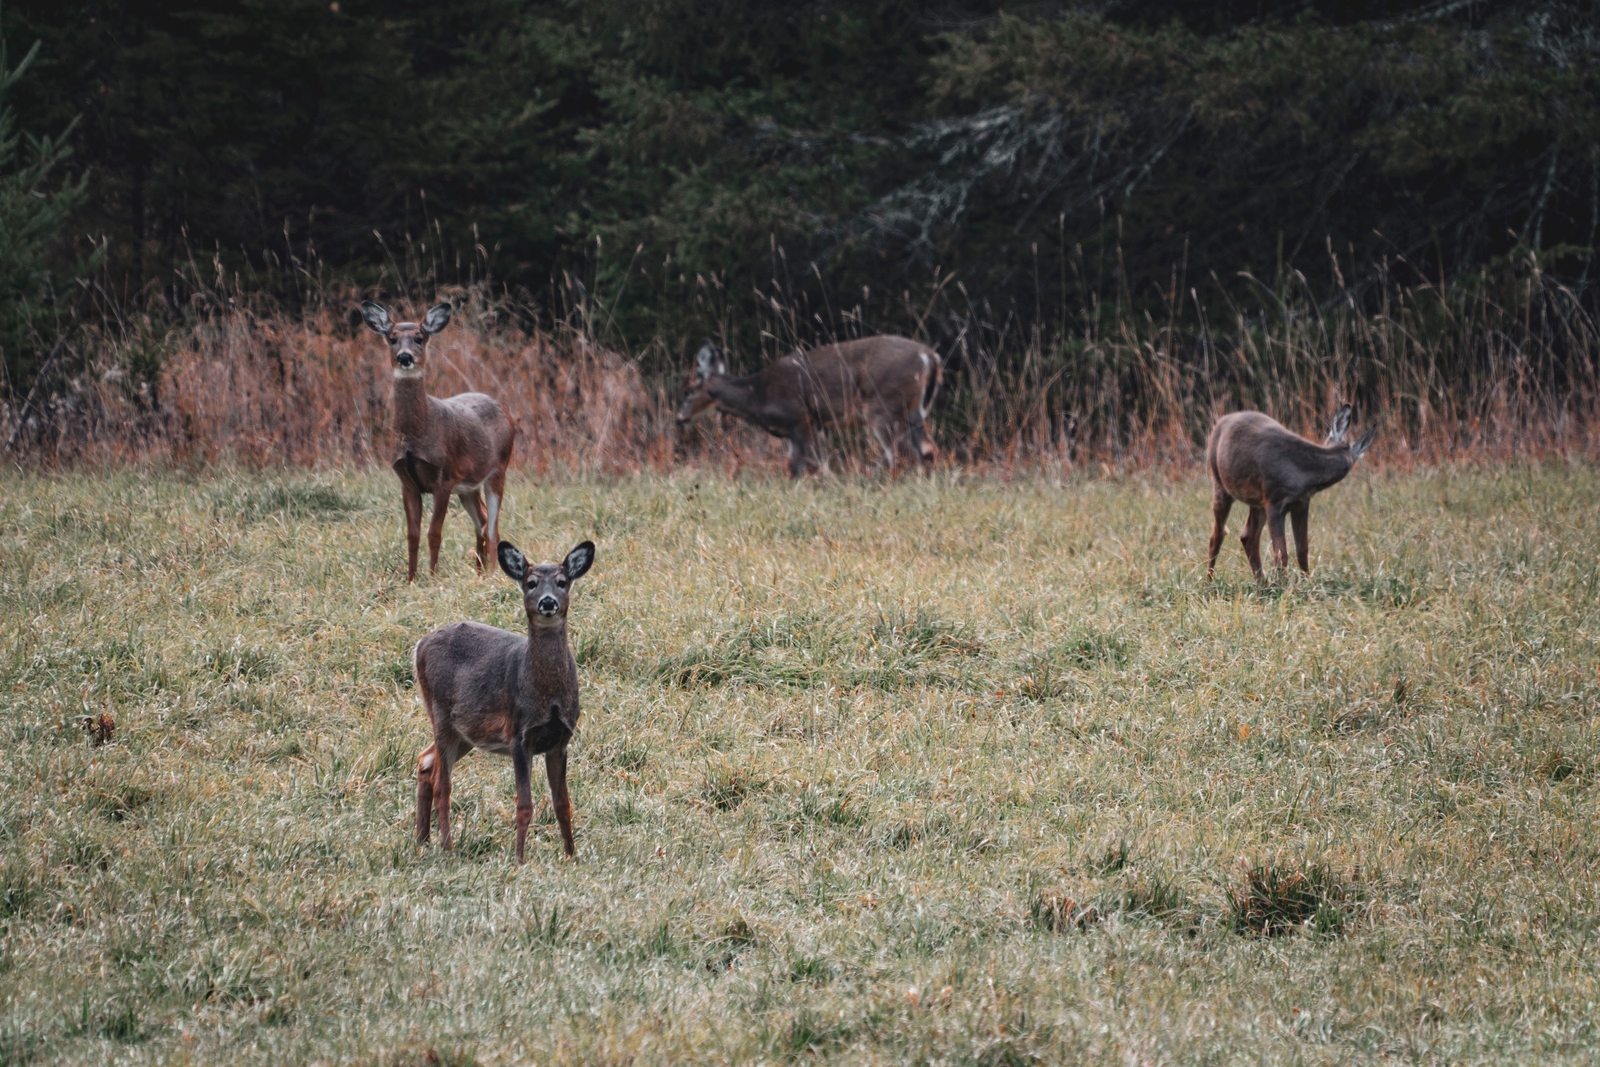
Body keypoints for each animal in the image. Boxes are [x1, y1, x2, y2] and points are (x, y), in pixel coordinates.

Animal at [361, 300, 516, 582]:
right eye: (392, 338)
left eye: (419, 338)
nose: (405, 357)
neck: (416, 438)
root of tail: (507, 413)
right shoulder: (407, 481)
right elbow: (412, 535)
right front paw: (411, 579)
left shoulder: (444, 476)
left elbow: (434, 533)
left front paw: (432, 578)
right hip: (468, 486)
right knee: (482, 521)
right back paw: (479, 573)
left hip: (499, 469)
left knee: (493, 527)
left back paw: (491, 575)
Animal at [413, 539, 595, 863]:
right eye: (531, 583)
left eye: (562, 582)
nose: (548, 602)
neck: (548, 697)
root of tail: (419, 645)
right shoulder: (519, 734)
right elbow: (524, 805)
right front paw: (520, 860)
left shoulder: (561, 739)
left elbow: (563, 803)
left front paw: (571, 857)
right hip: (441, 713)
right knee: (442, 784)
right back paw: (447, 847)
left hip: (465, 734)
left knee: (425, 760)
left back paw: (422, 840)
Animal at [676, 336, 941, 477]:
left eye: (687, 390)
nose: (680, 418)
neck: (757, 396)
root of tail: (930, 357)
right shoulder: (805, 426)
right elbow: (794, 467)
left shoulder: (800, 416)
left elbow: (813, 464)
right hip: (913, 411)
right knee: (927, 450)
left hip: (883, 406)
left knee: (901, 454)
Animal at [1206, 404, 1375, 580]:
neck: (1303, 474)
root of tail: (1222, 420)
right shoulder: (1274, 501)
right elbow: (1281, 553)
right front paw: (1282, 585)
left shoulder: (1301, 503)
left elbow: (1302, 549)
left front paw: (1306, 581)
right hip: (1221, 486)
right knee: (1217, 535)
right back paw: (1210, 581)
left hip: (1257, 502)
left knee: (1248, 536)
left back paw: (1262, 583)